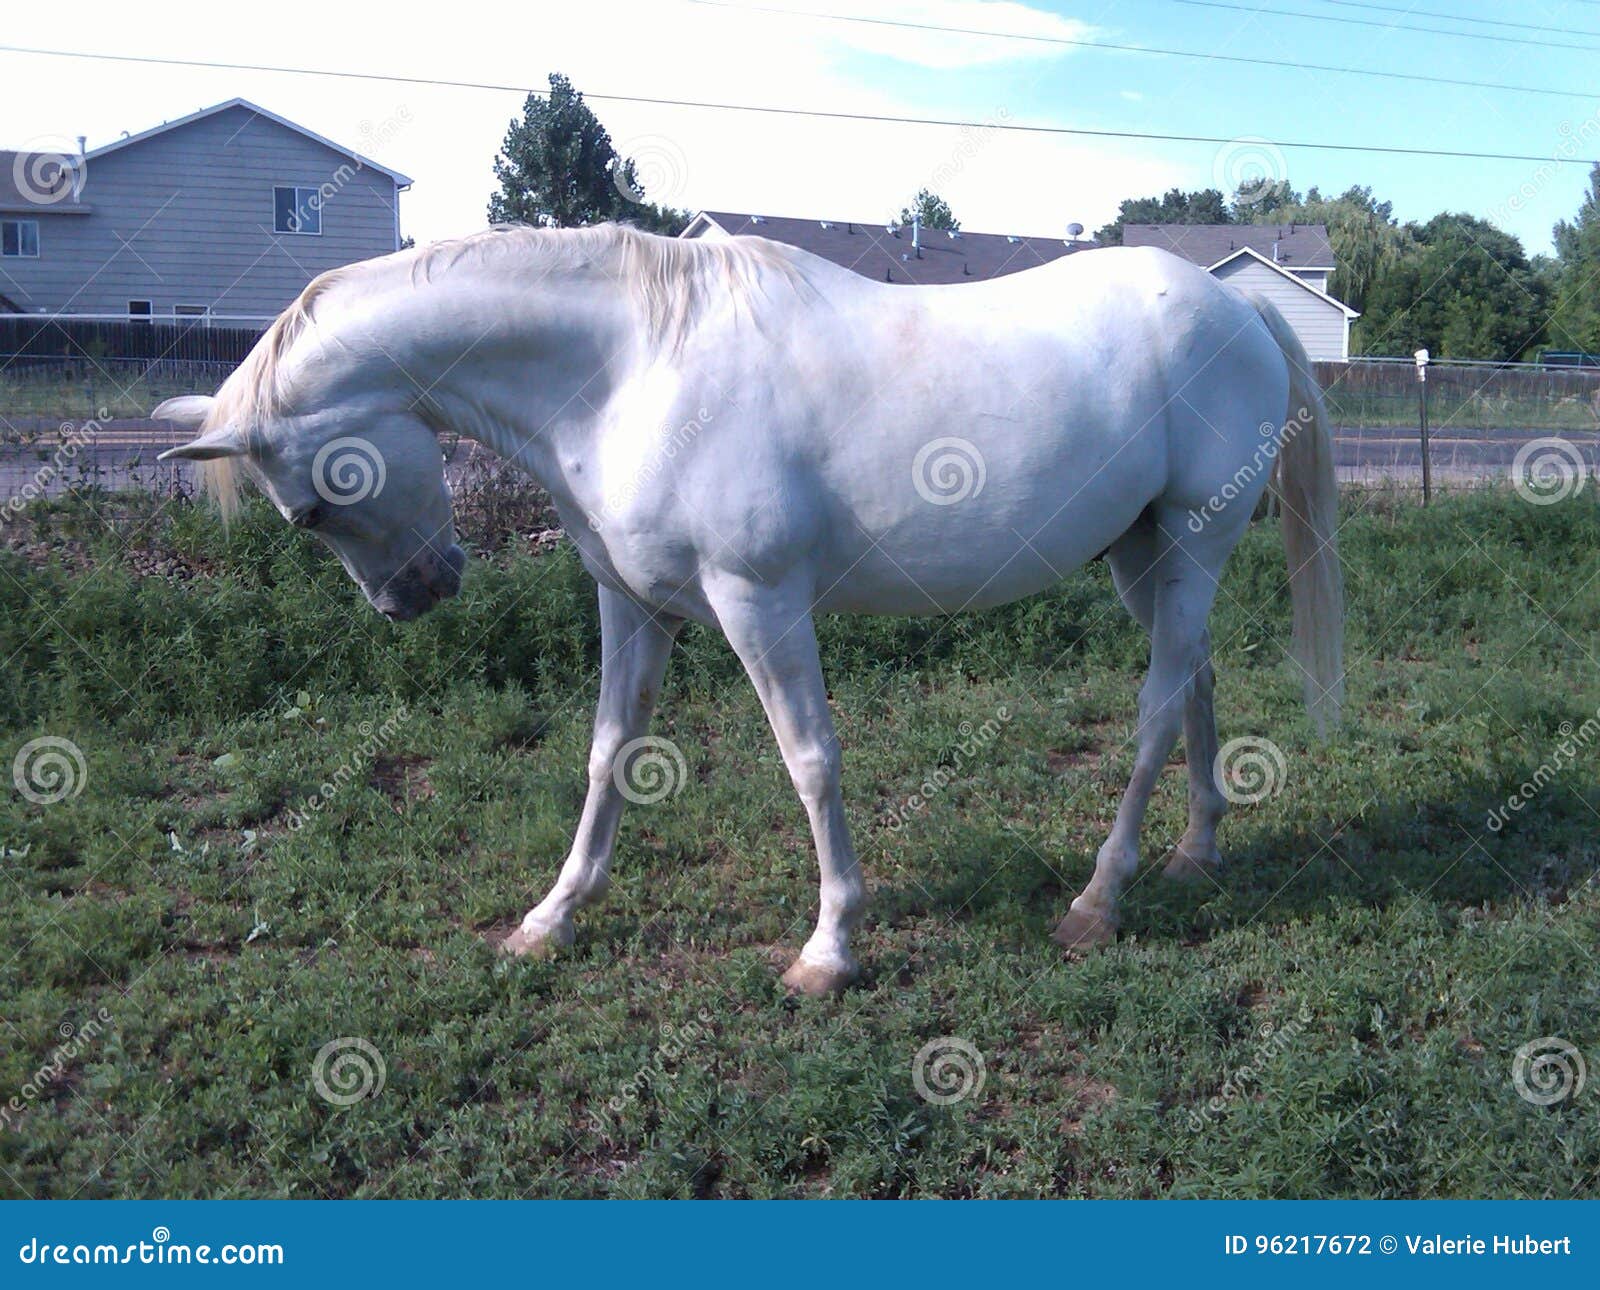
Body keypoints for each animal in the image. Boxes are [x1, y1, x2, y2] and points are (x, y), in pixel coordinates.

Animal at [156, 223, 1343, 996]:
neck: (629, 370)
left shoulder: (756, 600)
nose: (417, 596)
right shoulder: (632, 604)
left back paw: (1098, 901)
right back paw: (1196, 851)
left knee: (1155, 705)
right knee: (1194, 681)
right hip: (1145, 554)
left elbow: (808, 758)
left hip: (1189, 543)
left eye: (314, 504)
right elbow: (608, 753)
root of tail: (1240, 308)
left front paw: (829, 949)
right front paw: (550, 919)